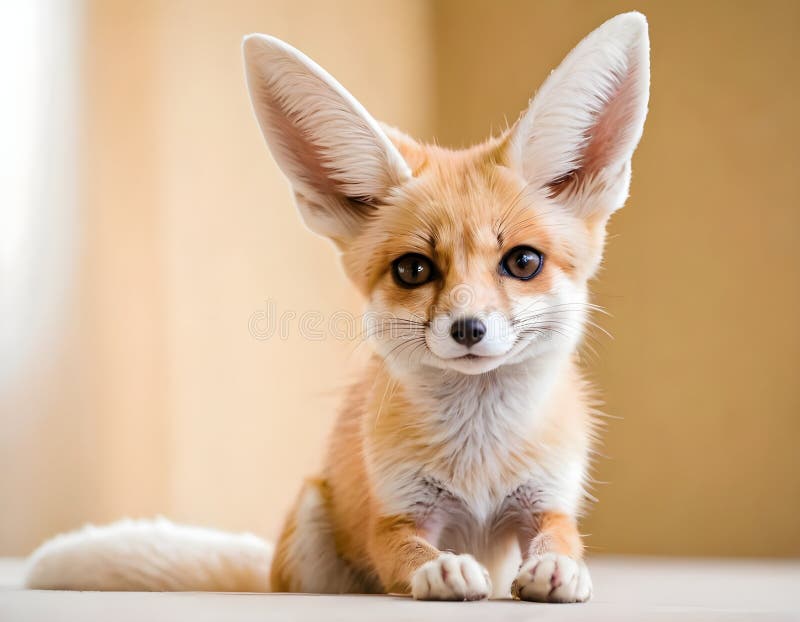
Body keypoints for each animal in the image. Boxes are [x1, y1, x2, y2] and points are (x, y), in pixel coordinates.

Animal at [24, 12, 649, 603]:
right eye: (413, 269)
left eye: (522, 262)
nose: (468, 329)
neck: (478, 458)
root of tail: (270, 574)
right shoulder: (395, 512)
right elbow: (409, 553)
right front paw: (442, 570)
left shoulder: (547, 499)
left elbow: (560, 539)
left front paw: (557, 570)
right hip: (309, 525)